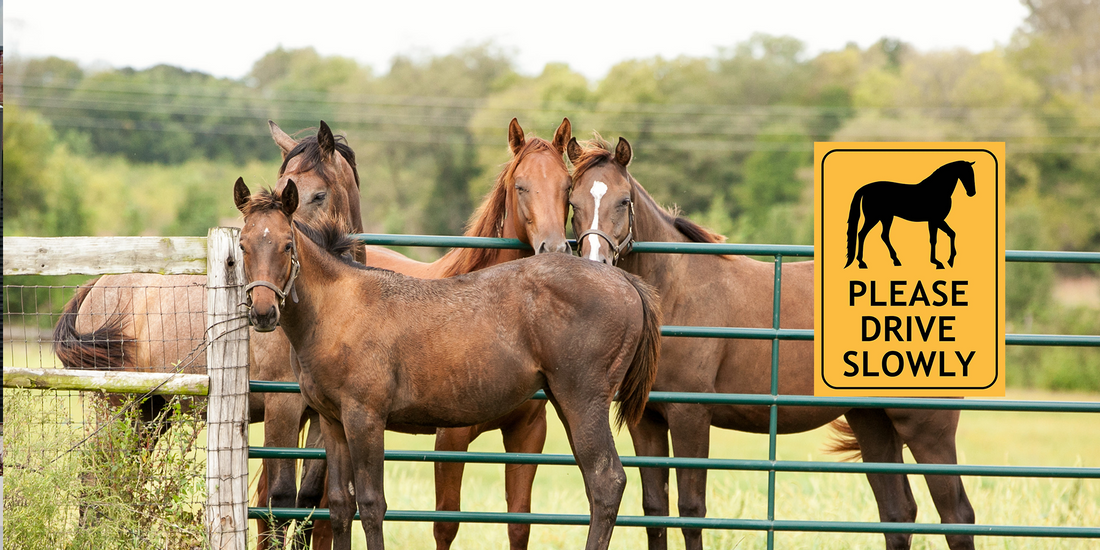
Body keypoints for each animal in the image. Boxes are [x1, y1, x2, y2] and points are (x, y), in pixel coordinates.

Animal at [52, 120, 360, 549]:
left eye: (319, 193)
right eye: (284, 183)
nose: (264, 308)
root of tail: (97, 284)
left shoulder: (320, 415)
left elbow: (310, 501)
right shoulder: (283, 409)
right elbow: (280, 499)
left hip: (151, 412)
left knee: (124, 479)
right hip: (112, 407)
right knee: (96, 476)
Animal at [233, 178, 662, 550]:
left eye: (287, 245)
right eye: (242, 245)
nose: (263, 312)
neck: (337, 308)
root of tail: (626, 283)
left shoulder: (365, 417)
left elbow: (371, 504)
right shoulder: (333, 421)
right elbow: (339, 505)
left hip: (583, 401)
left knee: (606, 482)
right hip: (566, 402)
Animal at [845, 161, 977, 270]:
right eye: (967, 174)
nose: (972, 193)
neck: (937, 190)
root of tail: (866, 188)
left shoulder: (937, 220)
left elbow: (951, 234)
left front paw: (949, 260)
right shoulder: (934, 220)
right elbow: (934, 239)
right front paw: (937, 262)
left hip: (886, 217)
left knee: (884, 235)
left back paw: (895, 260)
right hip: (873, 218)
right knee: (862, 234)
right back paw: (862, 262)